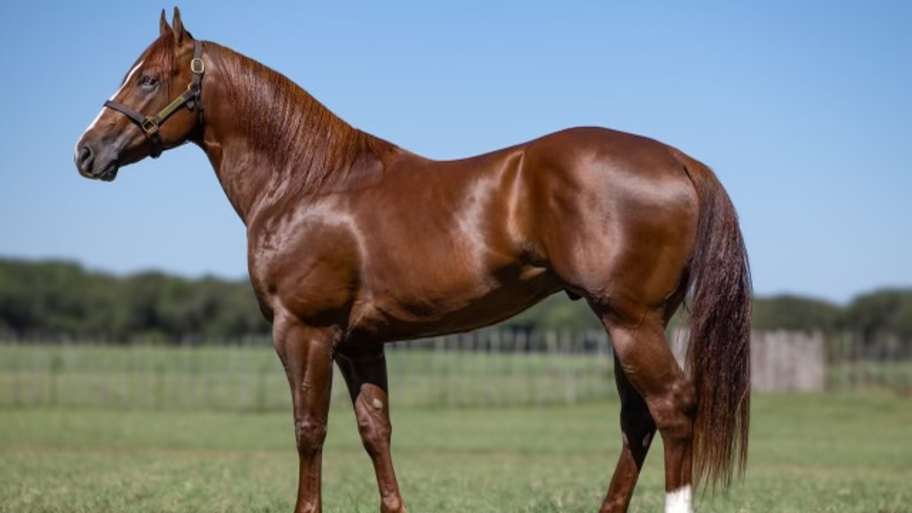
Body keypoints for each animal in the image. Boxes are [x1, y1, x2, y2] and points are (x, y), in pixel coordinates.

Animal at [74, 9, 751, 513]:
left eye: (149, 79)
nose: (86, 152)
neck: (305, 183)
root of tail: (680, 160)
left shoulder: (303, 331)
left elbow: (308, 429)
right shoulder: (360, 342)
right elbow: (375, 431)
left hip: (629, 320)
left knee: (672, 409)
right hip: (633, 322)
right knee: (638, 420)